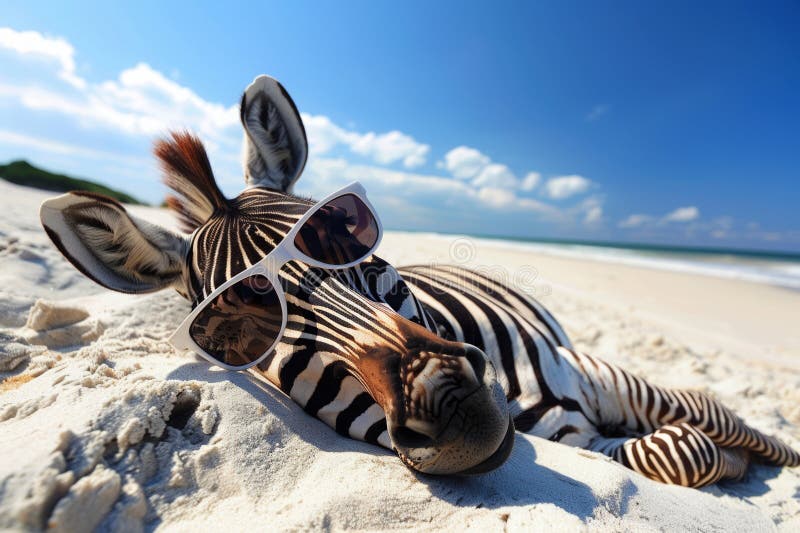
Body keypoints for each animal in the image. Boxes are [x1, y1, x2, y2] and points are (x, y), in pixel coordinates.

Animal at [39, 75, 799, 486]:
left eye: (340, 243)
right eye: (244, 335)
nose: (456, 408)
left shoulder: (595, 371)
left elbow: (711, 422)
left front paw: (767, 457)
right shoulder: (587, 440)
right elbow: (681, 452)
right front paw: (733, 469)